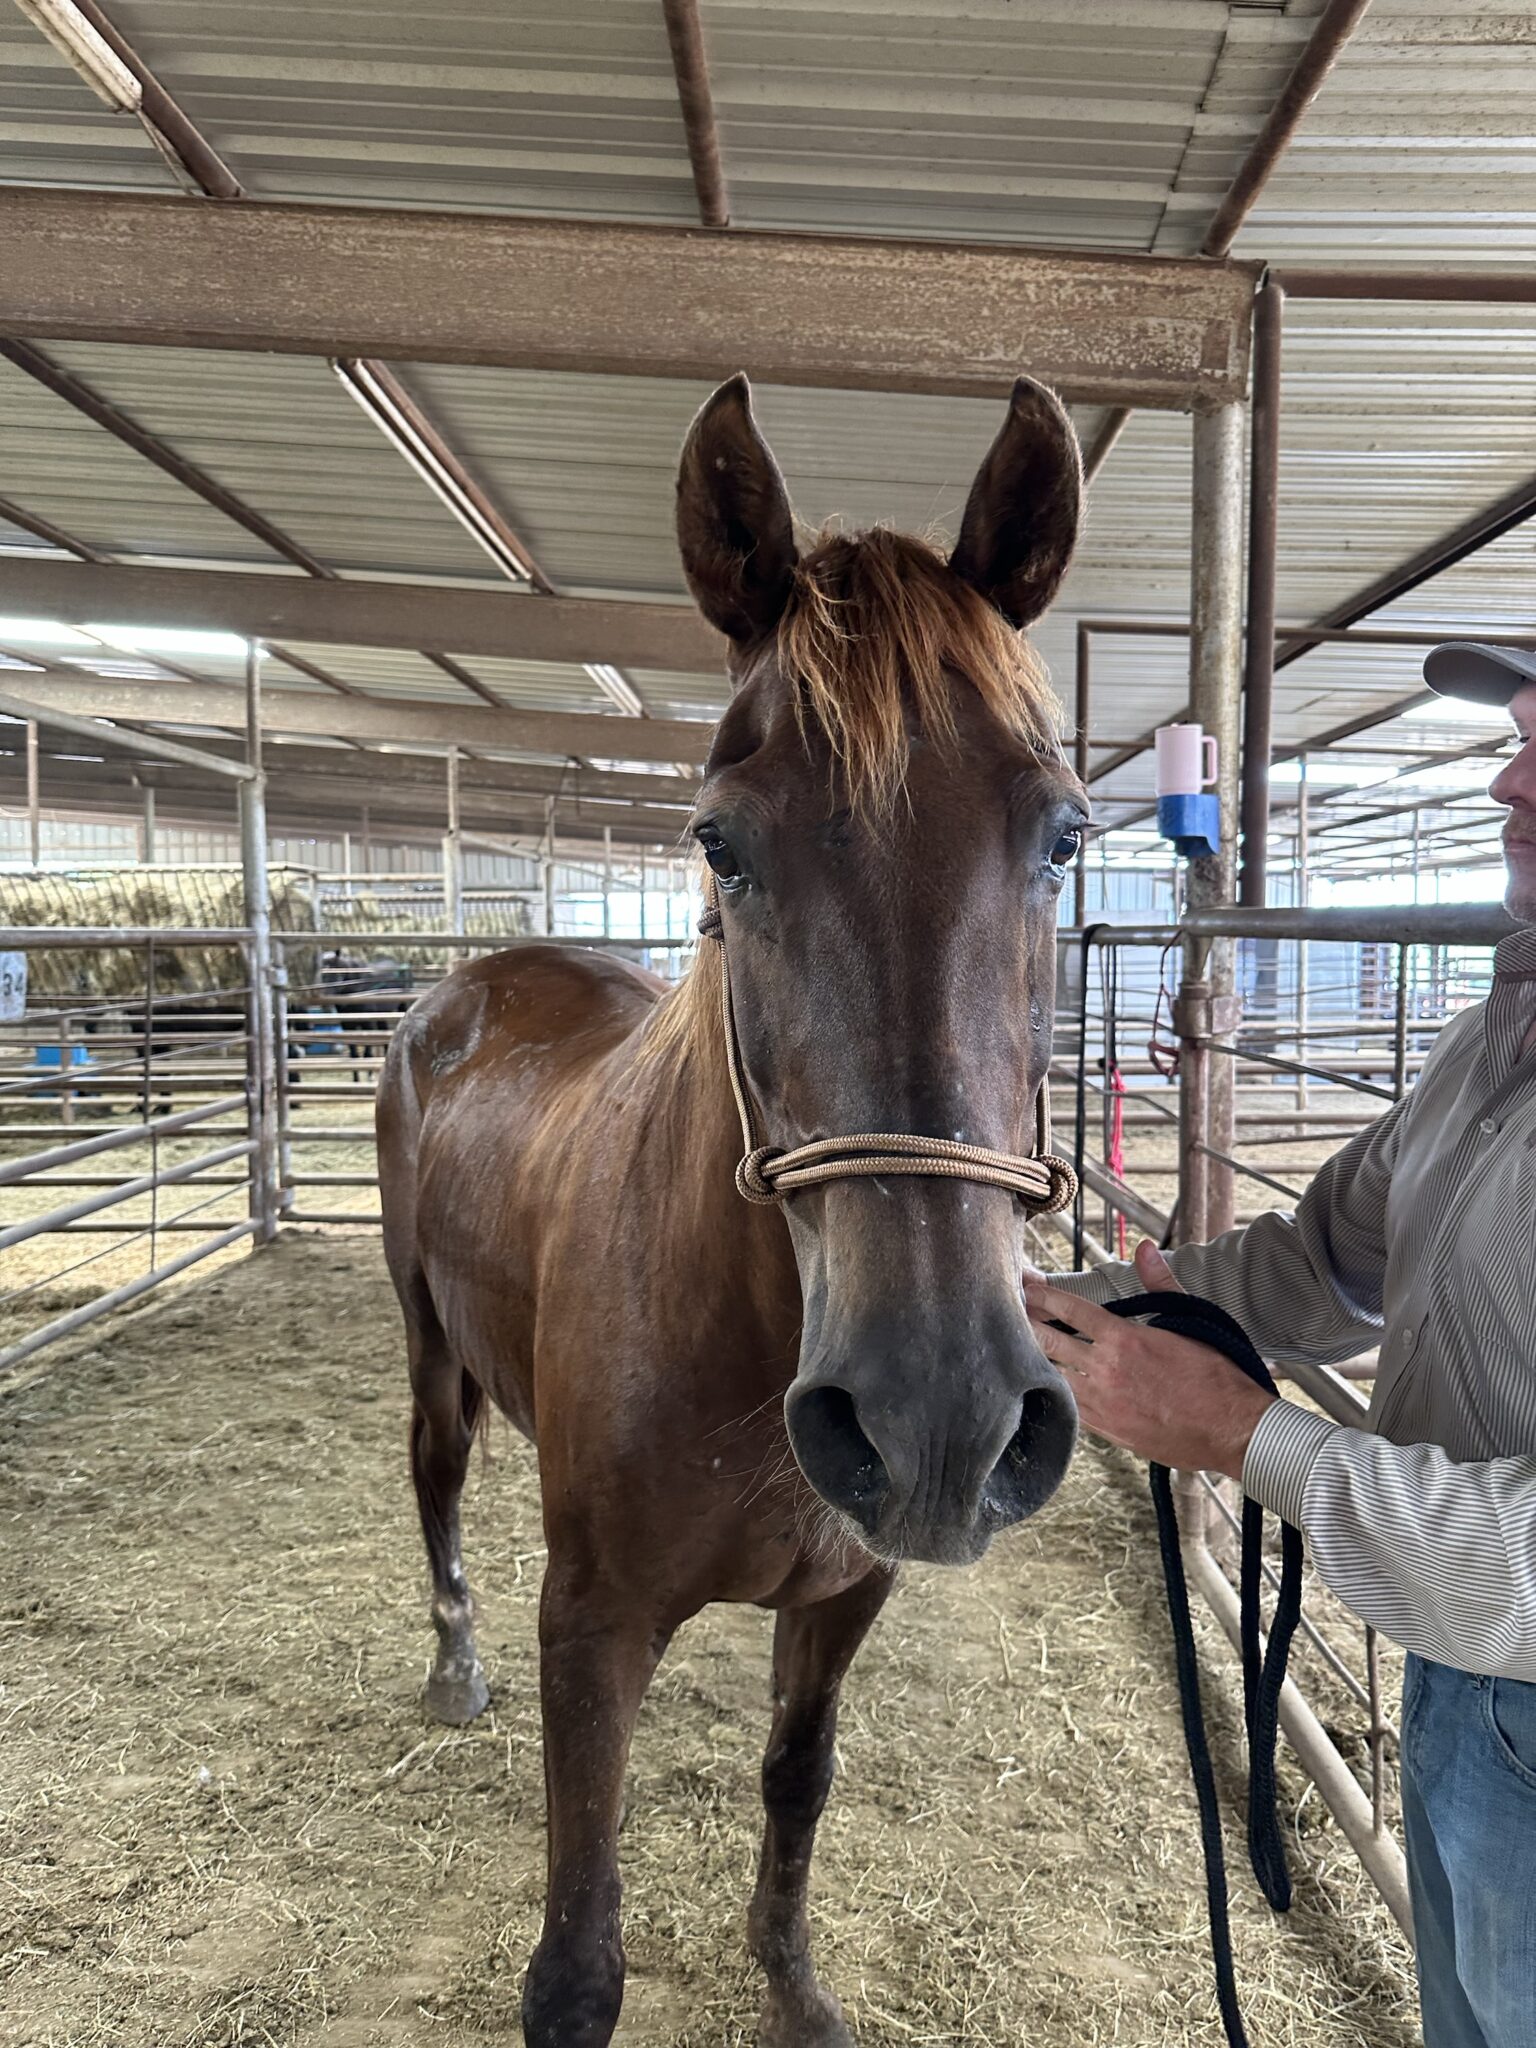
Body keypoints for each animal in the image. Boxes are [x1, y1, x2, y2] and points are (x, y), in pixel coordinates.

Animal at [376, 371, 1090, 2047]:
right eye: (719, 842)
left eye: (1064, 837)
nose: (940, 1419)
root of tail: (469, 986)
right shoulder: (591, 1627)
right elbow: (578, 1961)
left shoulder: (844, 1597)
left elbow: (796, 1781)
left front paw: (791, 1986)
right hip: (427, 1343)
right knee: (436, 1474)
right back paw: (451, 1663)